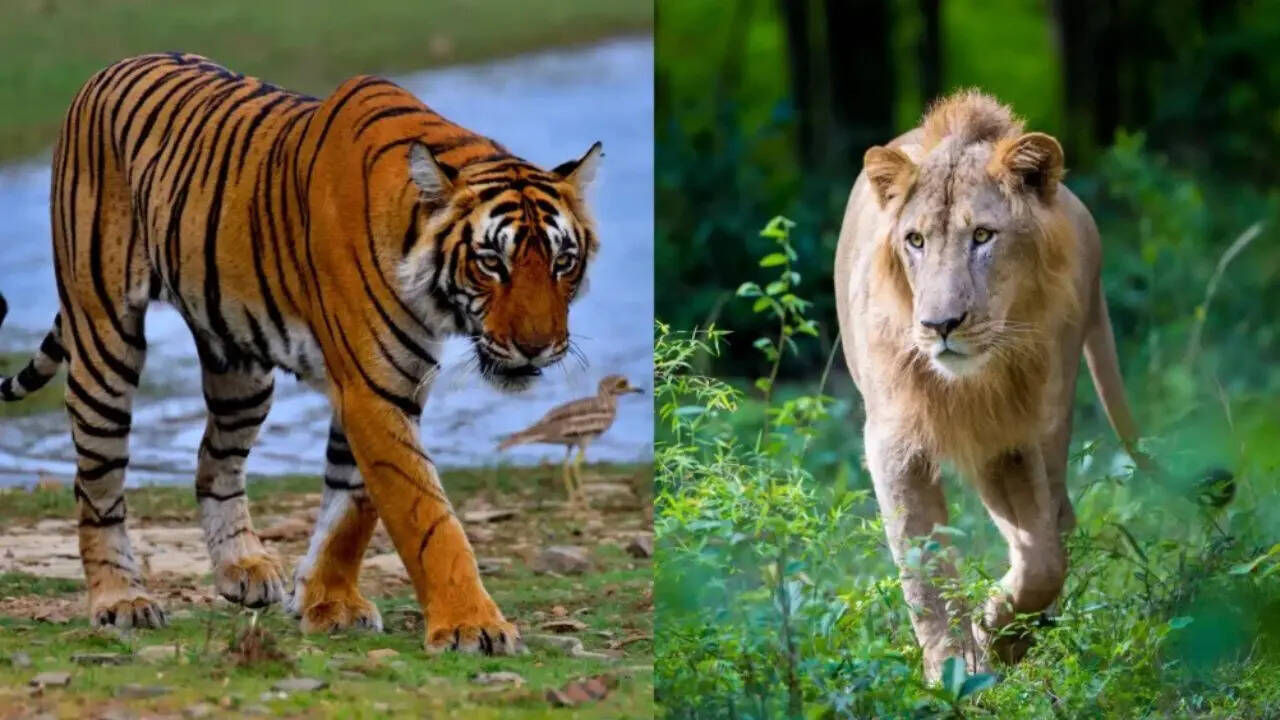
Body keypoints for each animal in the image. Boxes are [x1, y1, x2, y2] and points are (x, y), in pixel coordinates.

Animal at [0, 52, 603, 655]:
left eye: (563, 262)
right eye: (491, 263)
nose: (537, 347)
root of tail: (108, 70)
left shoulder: (384, 385)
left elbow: (351, 506)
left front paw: (327, 603)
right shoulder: (372, 390)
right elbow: (426, 516)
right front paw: (471, 624)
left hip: (241, 372)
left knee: (214, 460)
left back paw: (241, 568)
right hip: (104, 338)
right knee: (96, 482)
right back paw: (121, 600)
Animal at [833, 90, 1150, 680]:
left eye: (982, 235)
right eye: (915, 241)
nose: (940, 324)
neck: (969, 385)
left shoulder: (1012, 437)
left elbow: (1042, 558)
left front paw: (995, 636)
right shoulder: (894, 441)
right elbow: (923, 565)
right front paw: (954, 670)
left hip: (1056, 411)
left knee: (1061, 518)